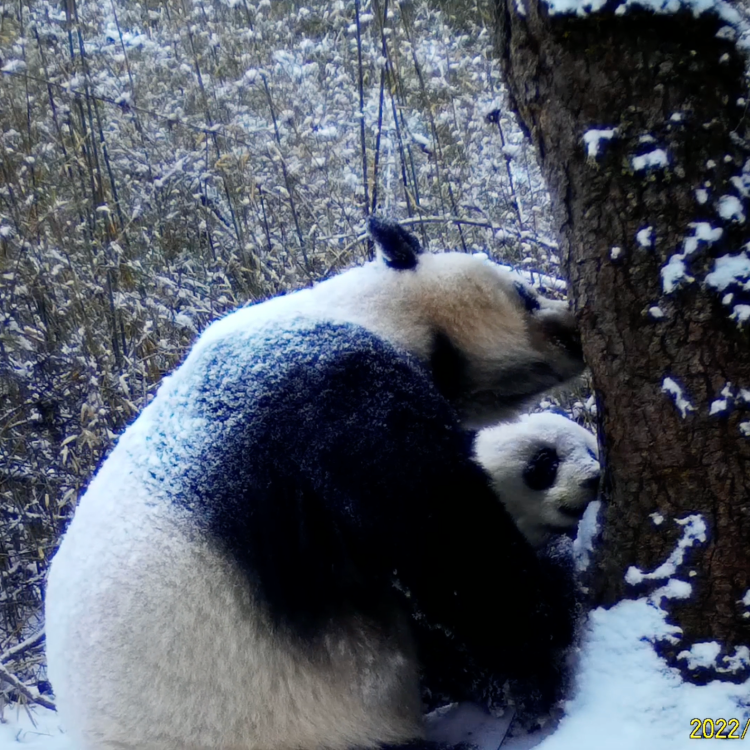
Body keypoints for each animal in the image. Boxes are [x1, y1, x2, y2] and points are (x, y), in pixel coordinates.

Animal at [44, 218, 585, 750]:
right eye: (524, 294)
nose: (575, 330)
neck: (354, 308)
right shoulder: (330, 400)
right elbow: (451, 549)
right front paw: (554, 617)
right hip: (284, 726)